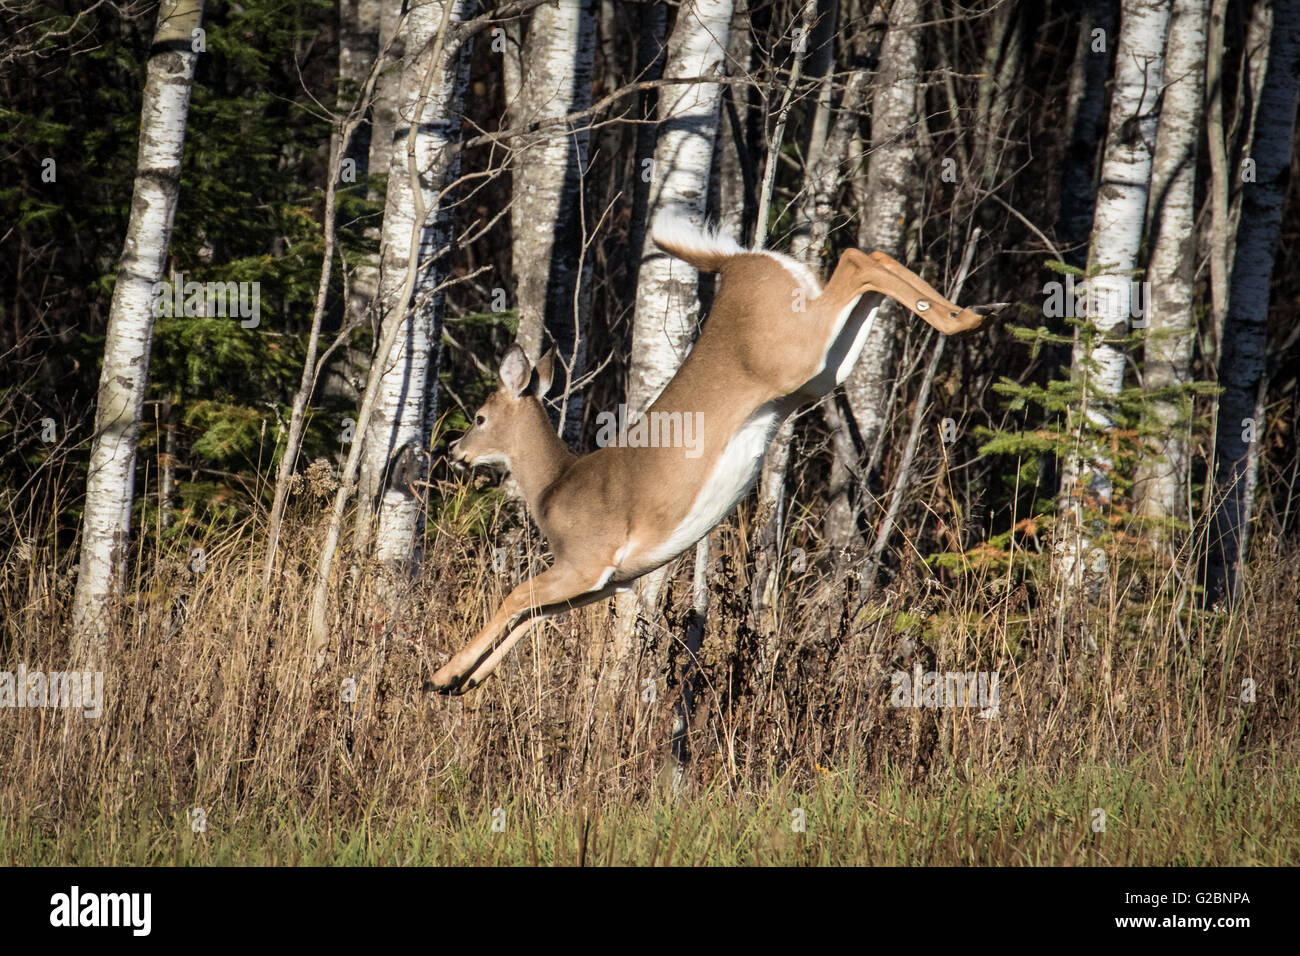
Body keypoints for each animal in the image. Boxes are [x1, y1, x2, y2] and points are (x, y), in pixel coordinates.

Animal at [432, 213, 986, 694]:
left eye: (479, 418)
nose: (454, 451)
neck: (553, 487)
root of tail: (736, 263)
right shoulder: (610, 583)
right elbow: (532, 615)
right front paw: (467, 681)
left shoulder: (587, 559)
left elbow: (515, 597)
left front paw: (441, 676)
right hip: (822, 370)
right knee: (871, 259)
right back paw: (965, 313)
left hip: (793, 353)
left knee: (855, 257)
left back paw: (963, 318)